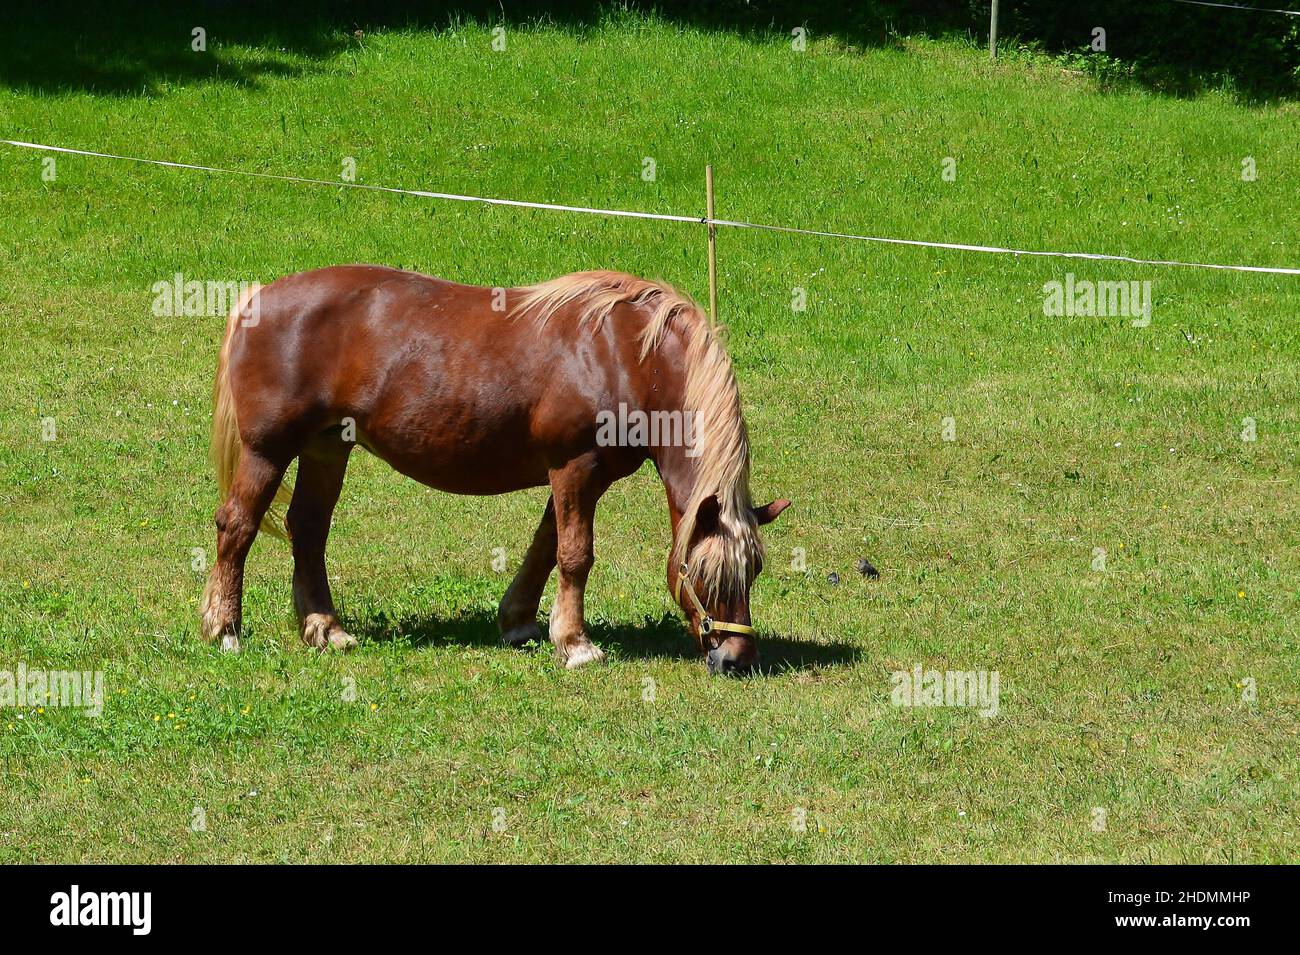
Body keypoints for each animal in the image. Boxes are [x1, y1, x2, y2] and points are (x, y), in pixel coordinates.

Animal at [199, 266, 789, 675]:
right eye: (705, 573)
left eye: (755, 571)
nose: (738, 657)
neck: (628, 357)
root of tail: (253, 300)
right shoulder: (574, 466)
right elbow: (575, 554)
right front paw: (576, 645)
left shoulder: (579, 475)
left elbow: (546, 546)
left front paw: (521, 621)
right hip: (267, 450)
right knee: (237, 526)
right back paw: (224, 630)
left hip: (326, 447)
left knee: (308, 528)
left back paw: (324, 628)